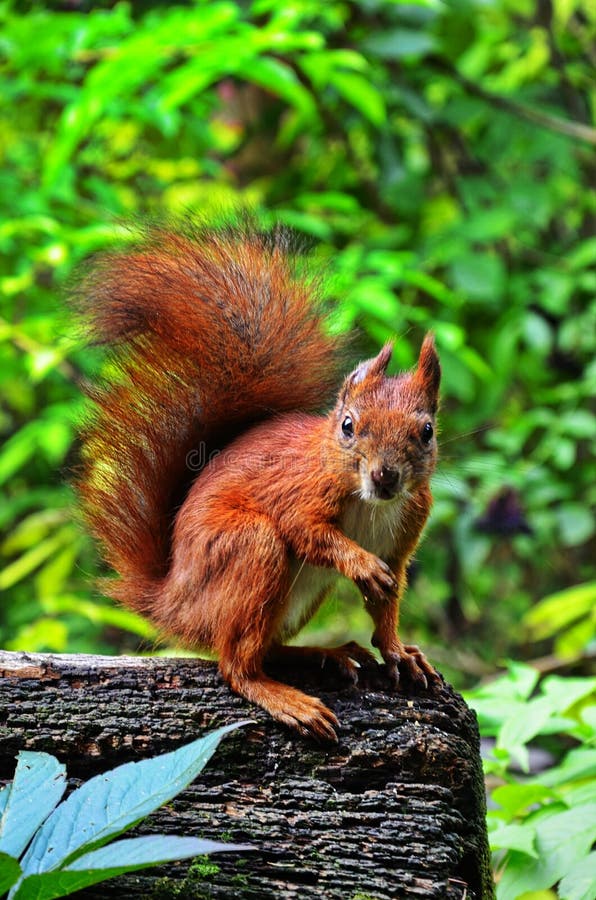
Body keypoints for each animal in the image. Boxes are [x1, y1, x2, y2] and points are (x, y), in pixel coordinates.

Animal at [75, 222, 441, 742]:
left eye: (426, 431)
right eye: (348, 425)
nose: (384, 477)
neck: (371, 504)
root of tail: (172, 602)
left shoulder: (405, 533)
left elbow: (387, 601)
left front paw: (397, 651)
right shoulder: (298, 488)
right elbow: (304, 529)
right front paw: (361, 564)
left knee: (262, 648)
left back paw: (323, 653)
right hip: (250, 549)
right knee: (236, 663)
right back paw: (287, 697)